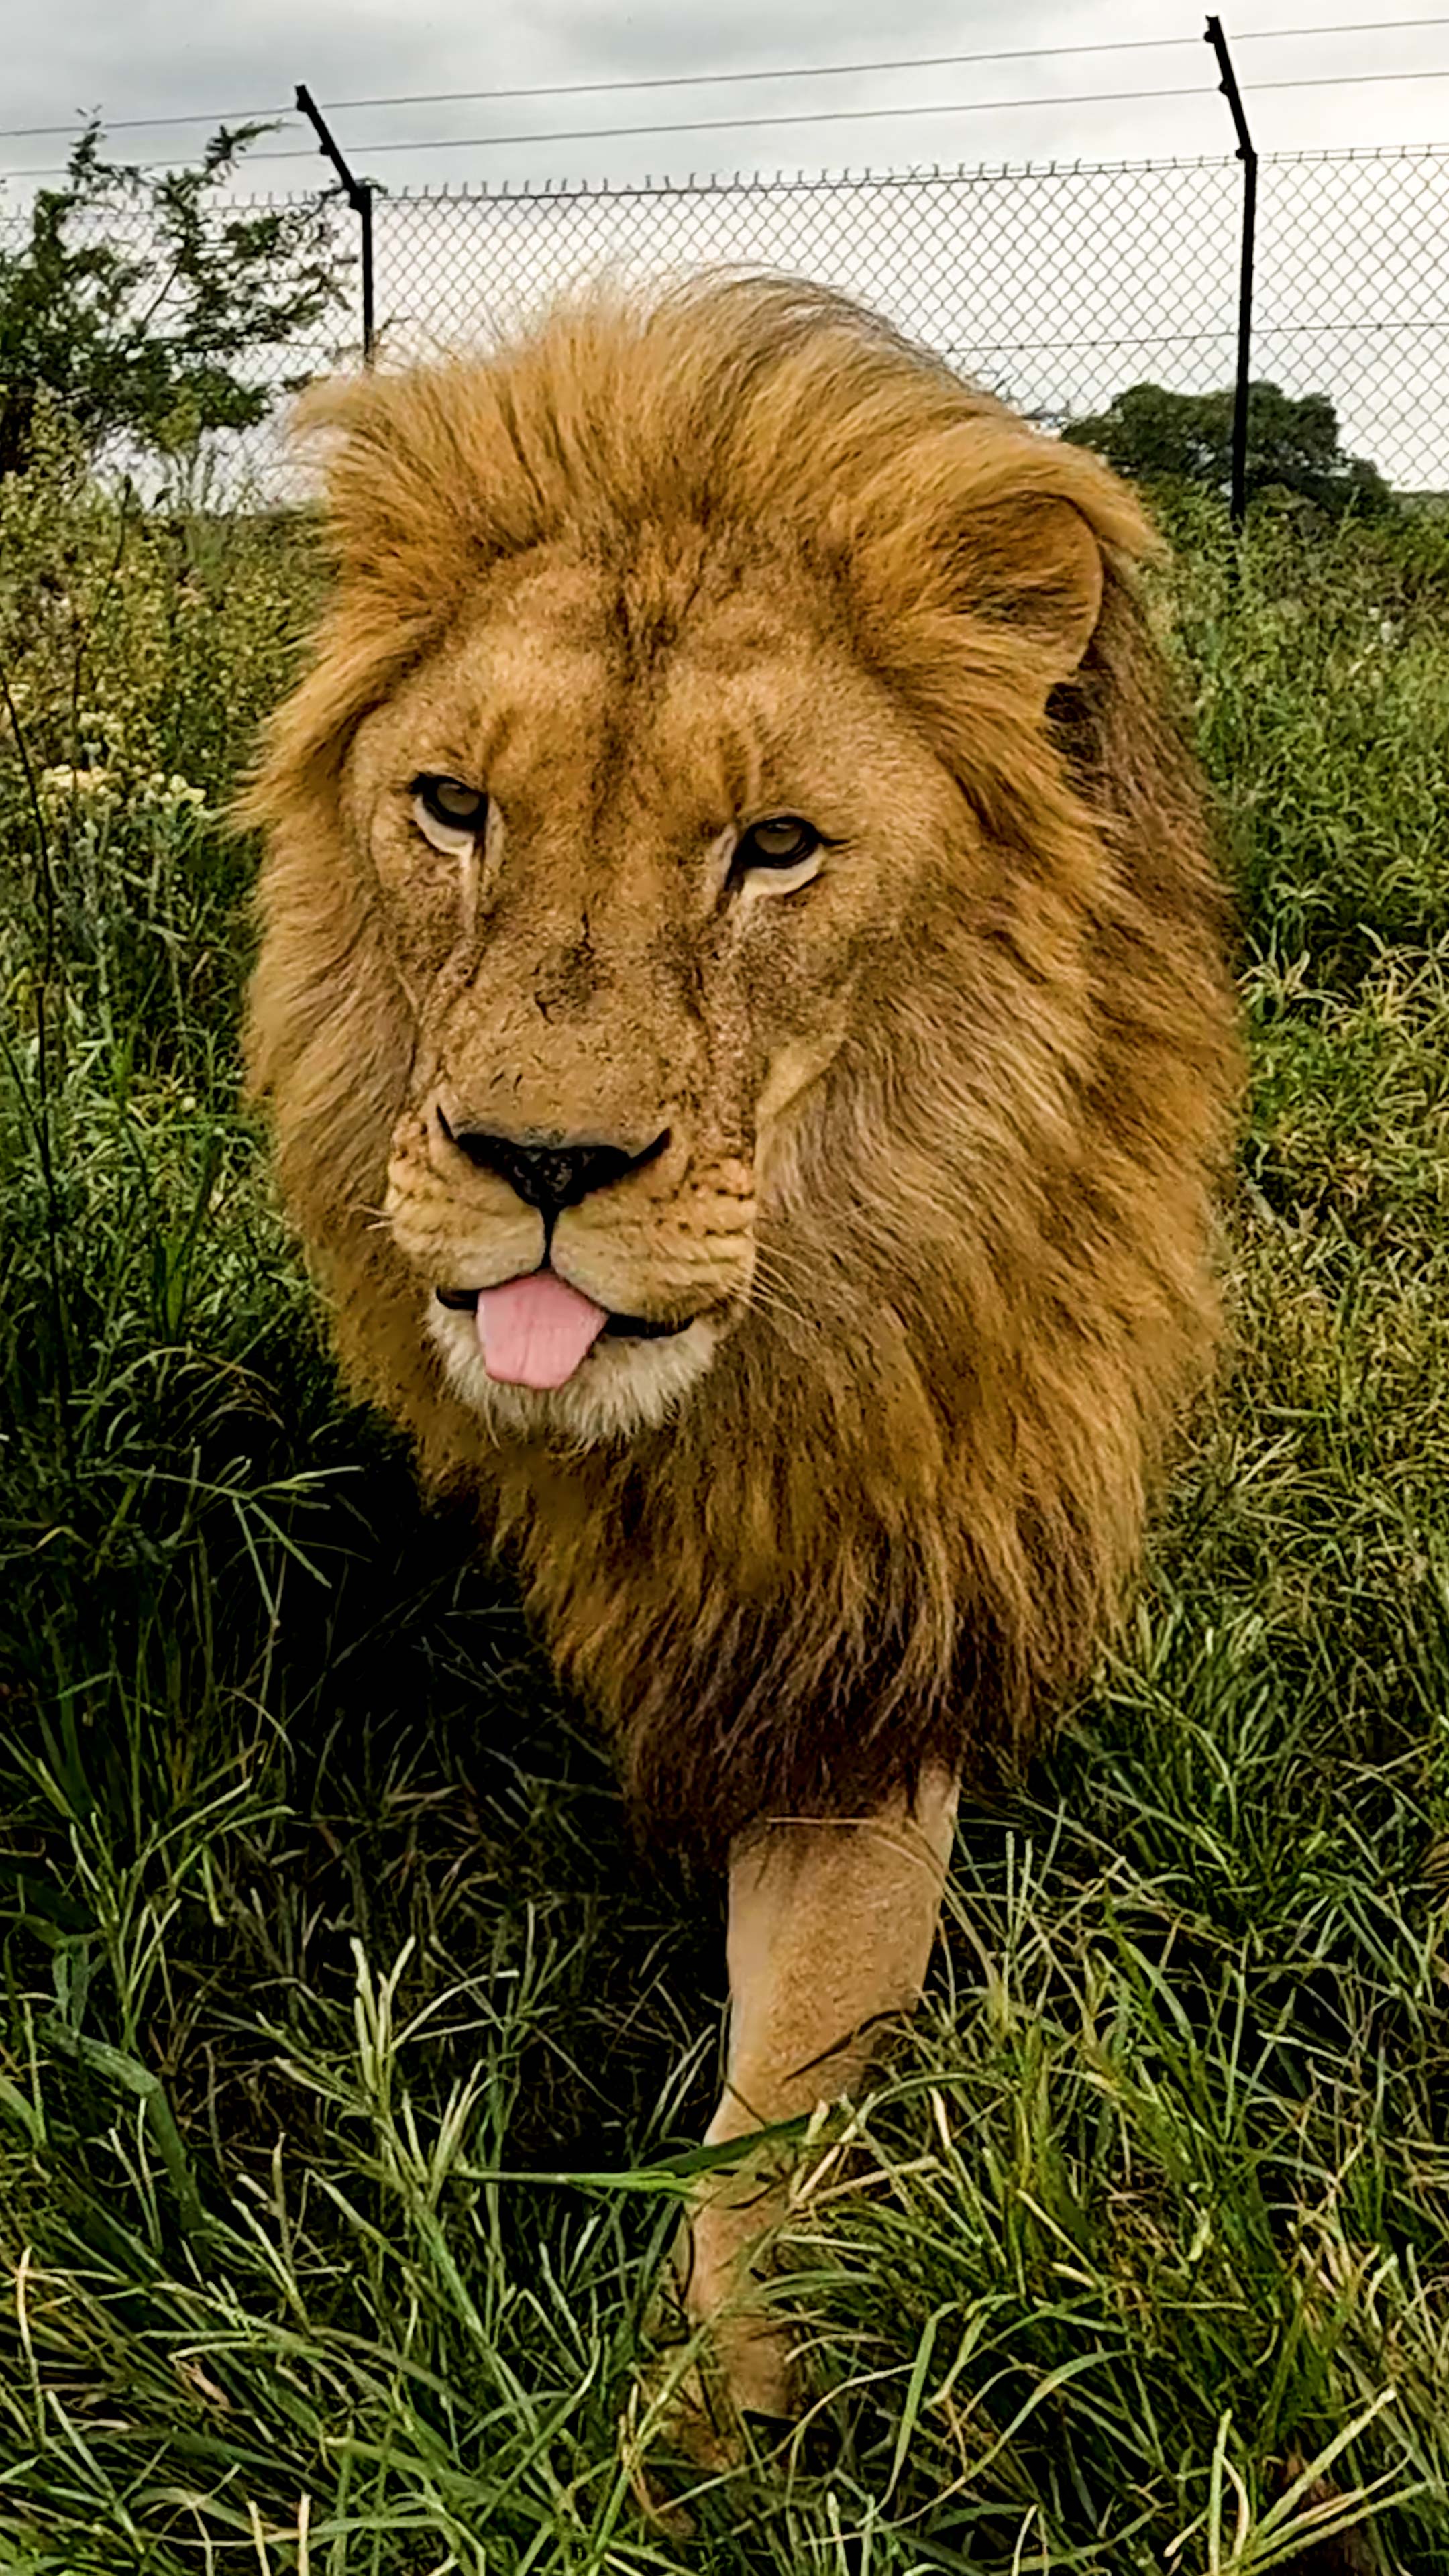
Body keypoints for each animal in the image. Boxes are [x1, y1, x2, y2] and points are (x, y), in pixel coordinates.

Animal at [243, 276, 1240, 2428]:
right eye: (454, 809)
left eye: (774, 848)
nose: (540, 1163)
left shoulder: (875, 1660)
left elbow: (779, 2126)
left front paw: (687, 2441)